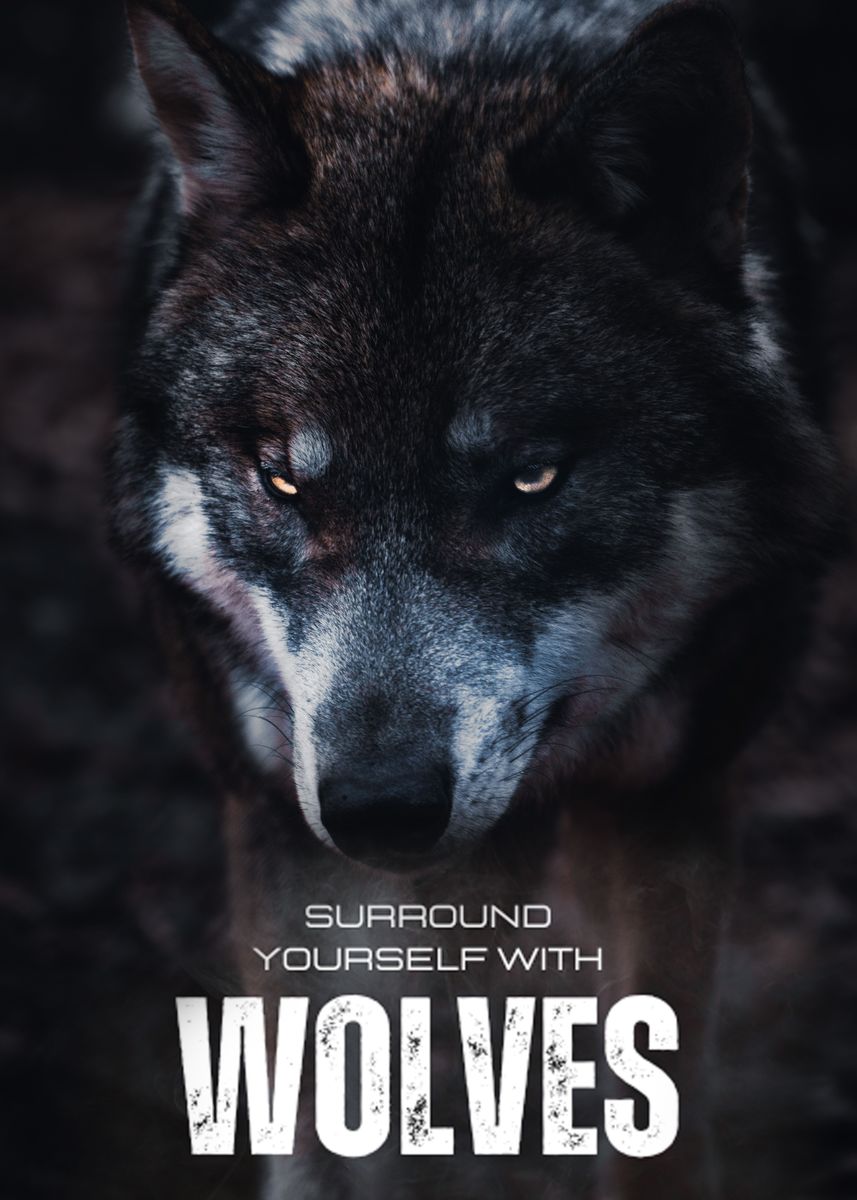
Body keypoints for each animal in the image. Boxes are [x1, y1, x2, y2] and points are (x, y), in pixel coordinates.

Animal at [114, 0, 840, 1196]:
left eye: (530, 477)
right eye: (284, 482)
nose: (379, 804)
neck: (448, 51)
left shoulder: (664, 795)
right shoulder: (280, 814)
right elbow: (318, 1124)